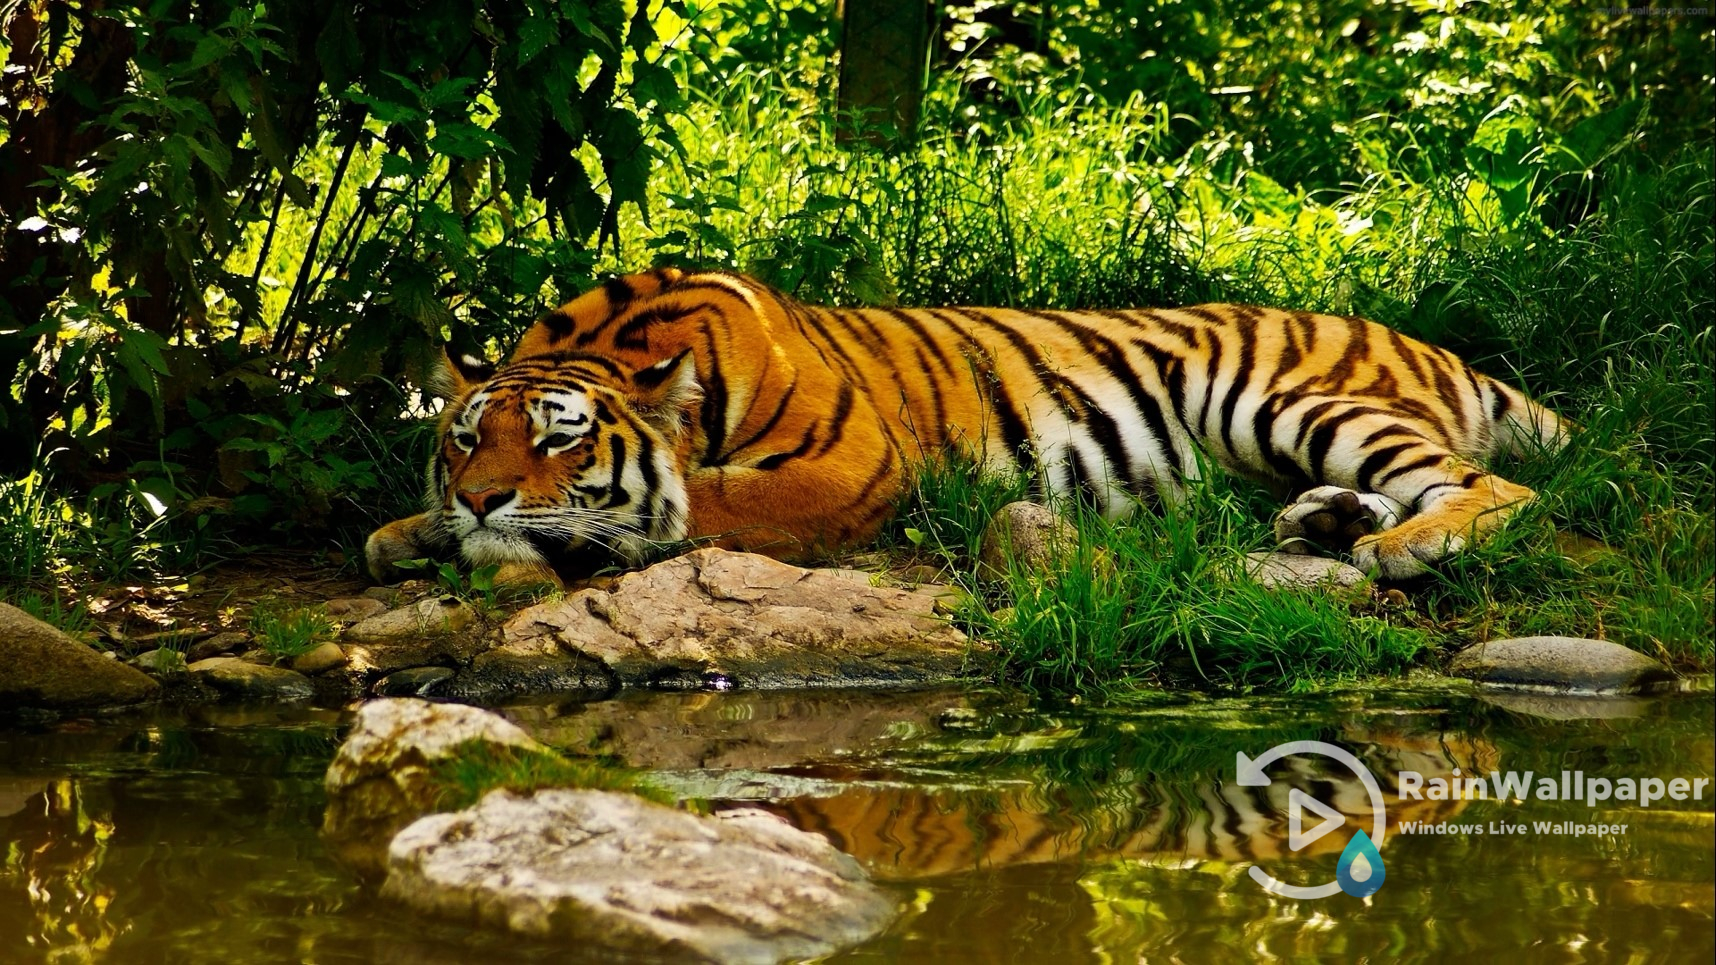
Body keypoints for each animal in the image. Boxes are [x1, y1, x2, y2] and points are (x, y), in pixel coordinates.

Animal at [364, 267, 1566, 588]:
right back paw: (1326, 525)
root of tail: (1430, 345)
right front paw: (408, 531)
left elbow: (701, 500)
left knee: (1496, 490)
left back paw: (1402, 546)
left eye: (560, 439)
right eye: (466, 438)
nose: (480, 496)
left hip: (1282, 397)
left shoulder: (848, 467)